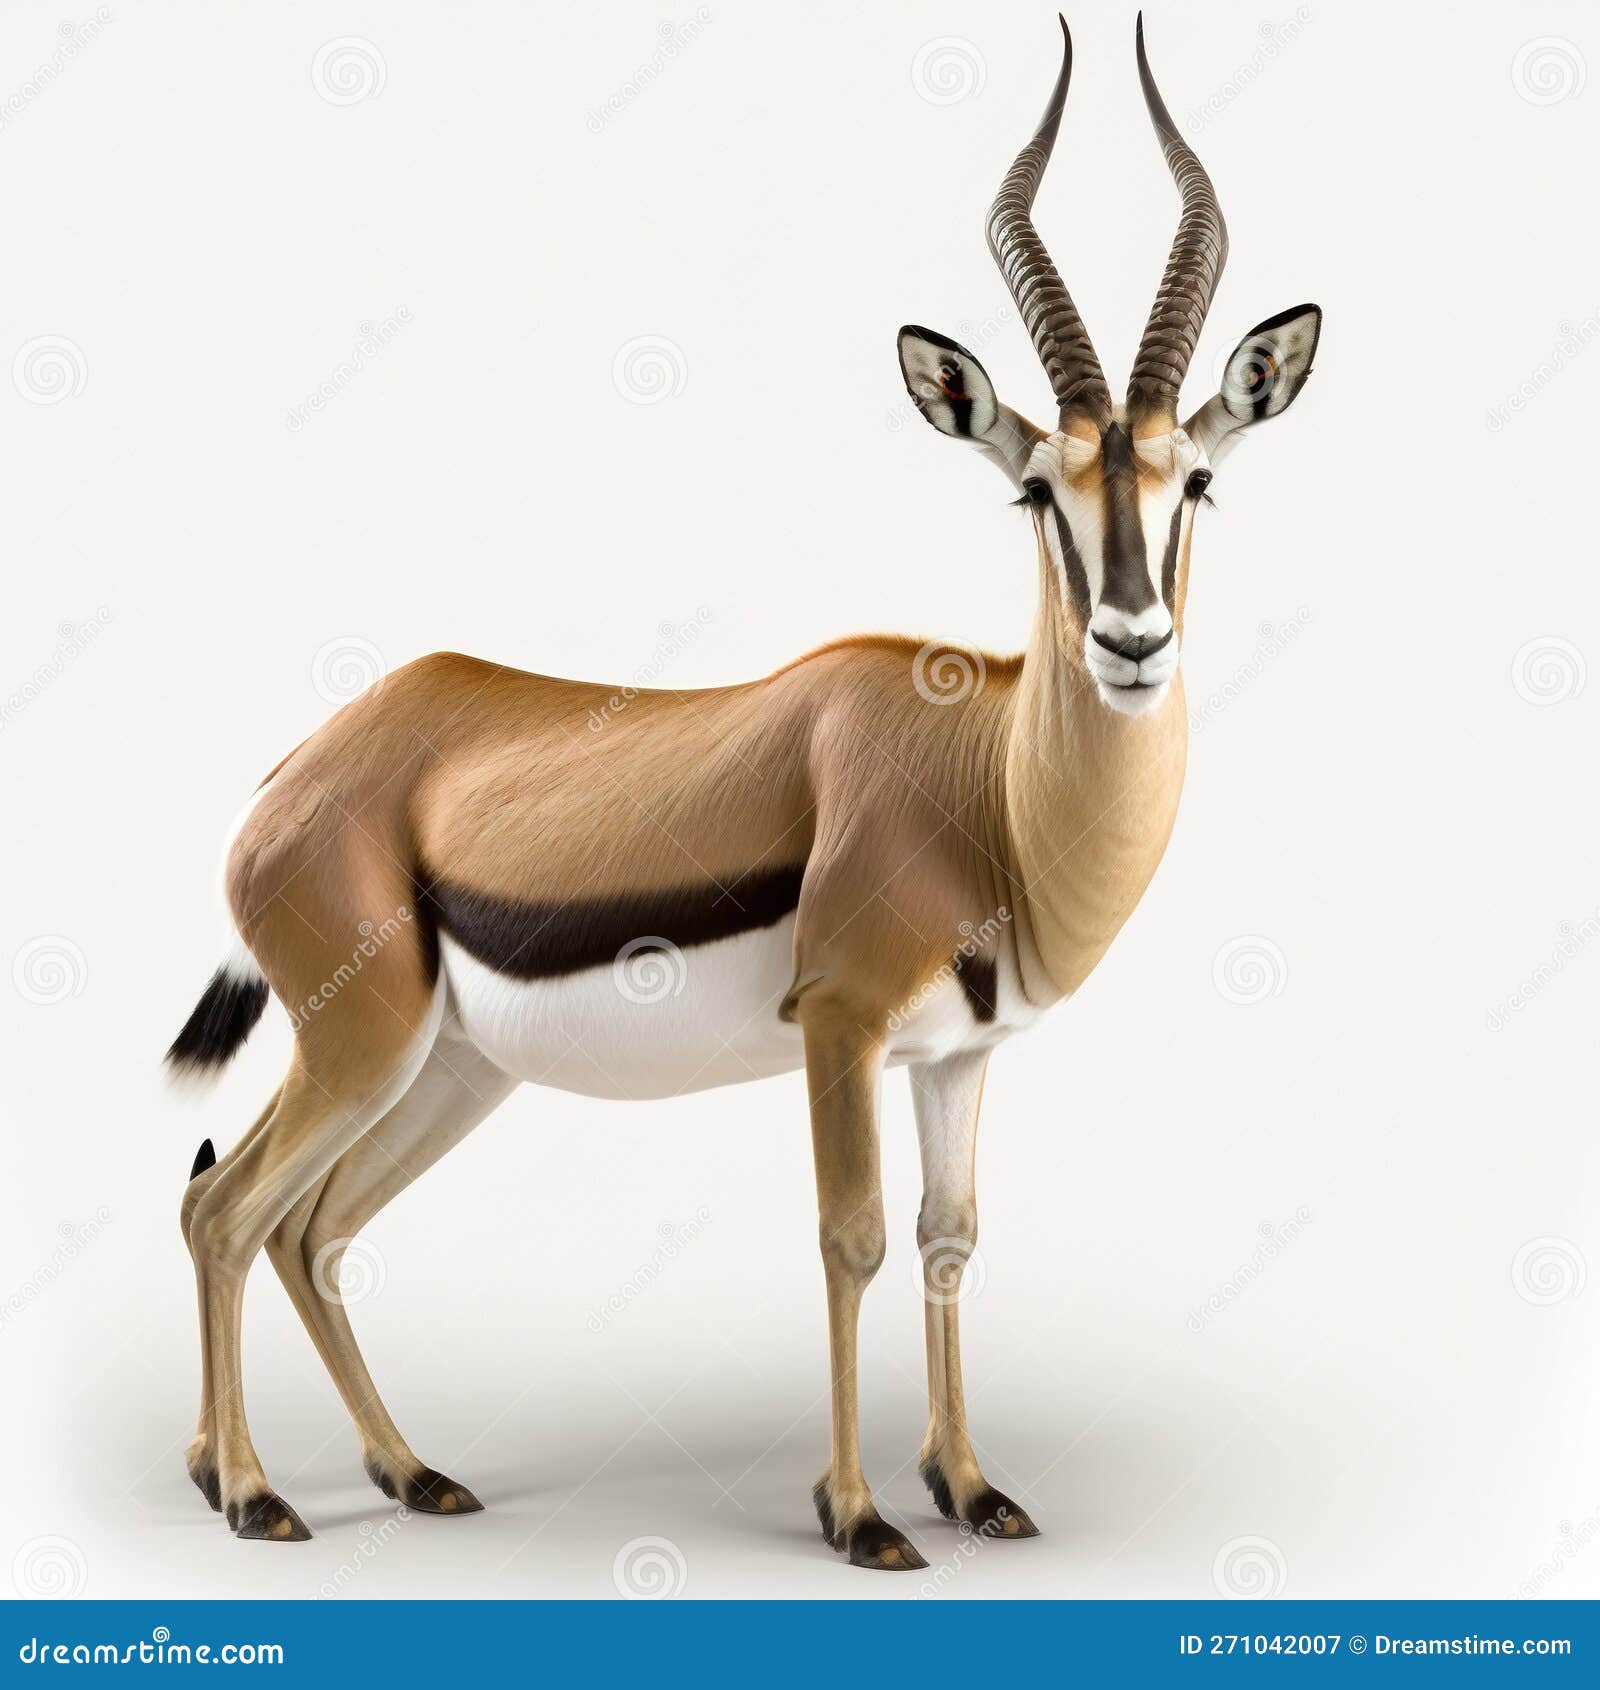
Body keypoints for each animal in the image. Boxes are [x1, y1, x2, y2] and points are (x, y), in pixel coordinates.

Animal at [170, 14, 1320, 1570]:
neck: (983, 781)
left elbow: (951, 1237)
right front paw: (860, 1515)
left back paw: (397, 1472)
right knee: (225, 1207)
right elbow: (852, 1237)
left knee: (310, 1226)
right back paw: (251, 1493)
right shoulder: (839, 1026)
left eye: (1193, 478)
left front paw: (974, 1487)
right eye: (1035, 490)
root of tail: (303, 769)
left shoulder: (955, 1056)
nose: (1131, 641)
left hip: (446, 1068)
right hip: (359, 1045)